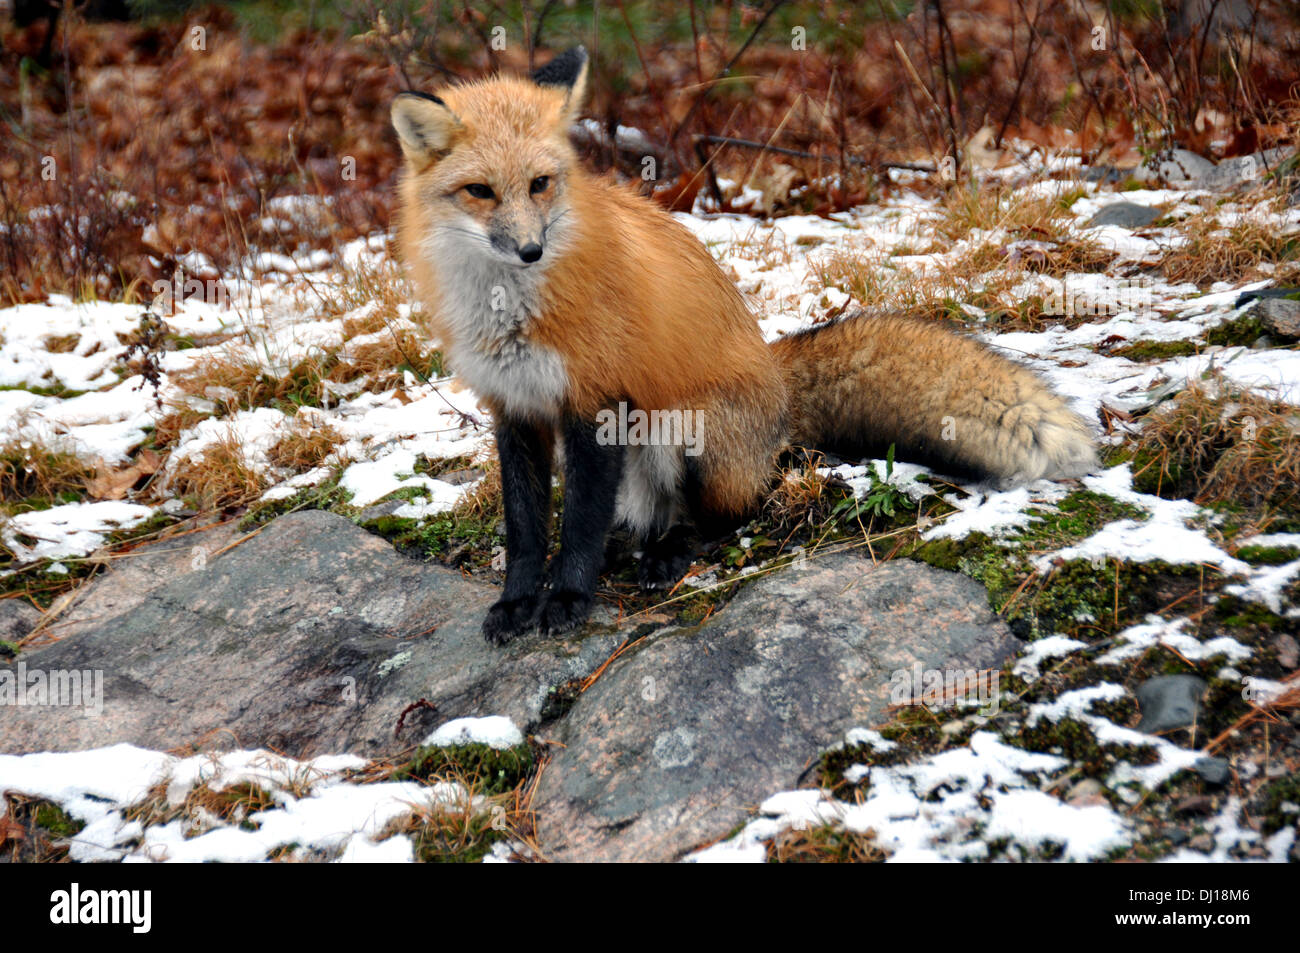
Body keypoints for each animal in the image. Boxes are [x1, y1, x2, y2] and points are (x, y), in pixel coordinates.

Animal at [390, 47, 1098, 645]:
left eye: (540, 183)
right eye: (480, 192)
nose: (531, 249)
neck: (510, 311)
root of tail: (776, 382)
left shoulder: (598, 403)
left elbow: (582, 522)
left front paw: (567, 598)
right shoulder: (515, 409)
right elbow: (526, 529)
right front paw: (516, 603)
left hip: (683, 432)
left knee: (727, 514)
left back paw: (669, 552)